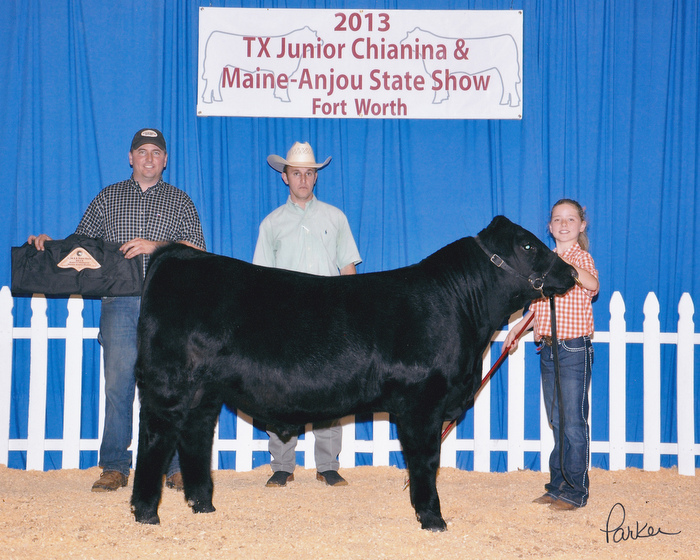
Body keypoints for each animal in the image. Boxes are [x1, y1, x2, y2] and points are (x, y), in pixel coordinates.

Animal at [130, 216, 576, 531]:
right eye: (528, 244)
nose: (571, 273)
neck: (460, 308)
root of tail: (177, 255)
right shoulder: (422, 403)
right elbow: (425, 460)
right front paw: (432, 518)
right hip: (169, 385)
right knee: (155, 438)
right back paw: (146, 513)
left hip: (204, 393)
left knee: (195, 437)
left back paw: (203, 505)